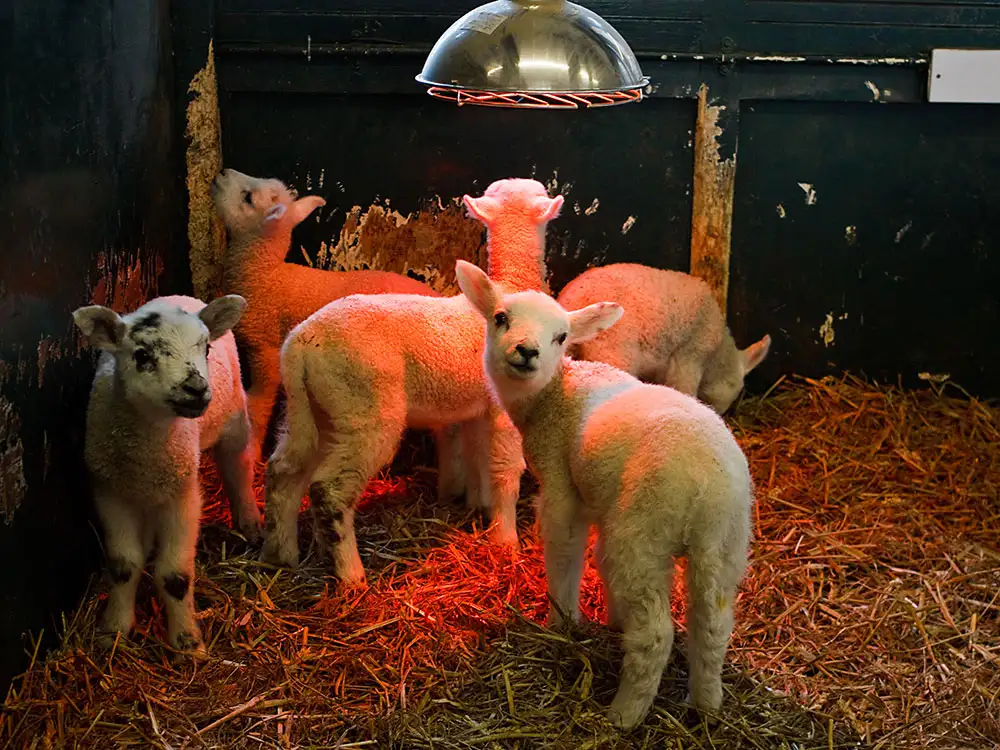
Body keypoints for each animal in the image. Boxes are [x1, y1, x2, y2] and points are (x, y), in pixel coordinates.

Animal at [72, 294, 257, 653]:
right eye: (142, 355)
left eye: (206, 349)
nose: (196, 388)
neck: (149, 451)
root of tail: (179, 296)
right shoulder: (111, 492)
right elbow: (124, 565)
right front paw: (113, 629)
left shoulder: (183, 495)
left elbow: (175, 575)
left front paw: (187, 642)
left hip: (233, 419)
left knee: (237, 466)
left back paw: (251, 521)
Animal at [210, 169, 463, 504]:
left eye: (248, 198)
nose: (221, 173)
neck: (265, 274)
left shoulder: (265, 351)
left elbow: (258, 404)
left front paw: (249, 456)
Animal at [260, 178, 564, 584]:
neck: (511, 282)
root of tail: (300, 344)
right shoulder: (503, 406)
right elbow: (505, 468)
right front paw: (506, 541)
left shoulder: (476, 407)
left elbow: (477, 458)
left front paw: (478, 506)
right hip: (365, 407)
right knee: (329, 489)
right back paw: (351, 574)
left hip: (312, 409)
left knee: (284, 473)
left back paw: (281, 554)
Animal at [556, 263, 771, 413]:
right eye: (735, 386)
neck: (716, 357)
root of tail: (573, 304)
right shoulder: (689, 358)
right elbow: (685, 391)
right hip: (614, 352)